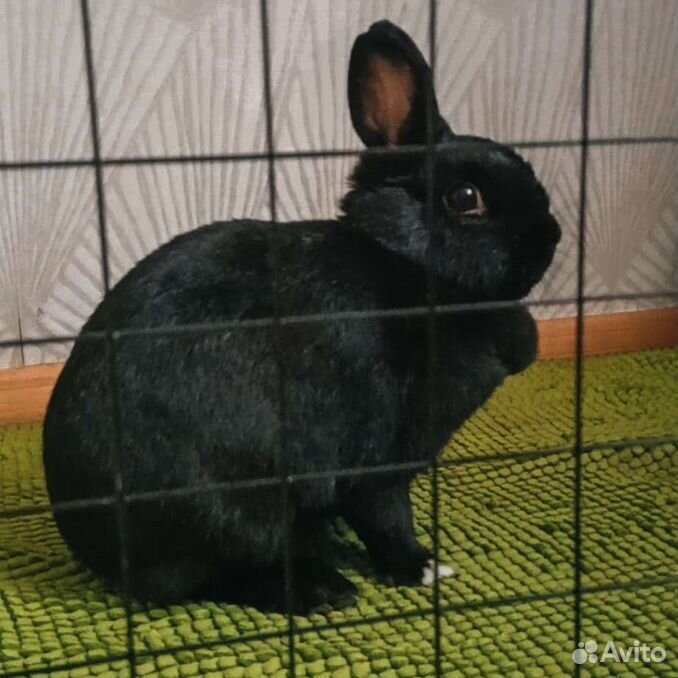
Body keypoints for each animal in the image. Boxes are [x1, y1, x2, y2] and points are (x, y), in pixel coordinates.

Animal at [43, 20, 561, 614]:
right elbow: (386, 517)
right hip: (233, 509)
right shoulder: (378, 455)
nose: (552, 237)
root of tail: (95, 544)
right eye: (465, 197)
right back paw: (327, 590)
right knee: (224, 575)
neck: (412, 272)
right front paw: (423, 567)